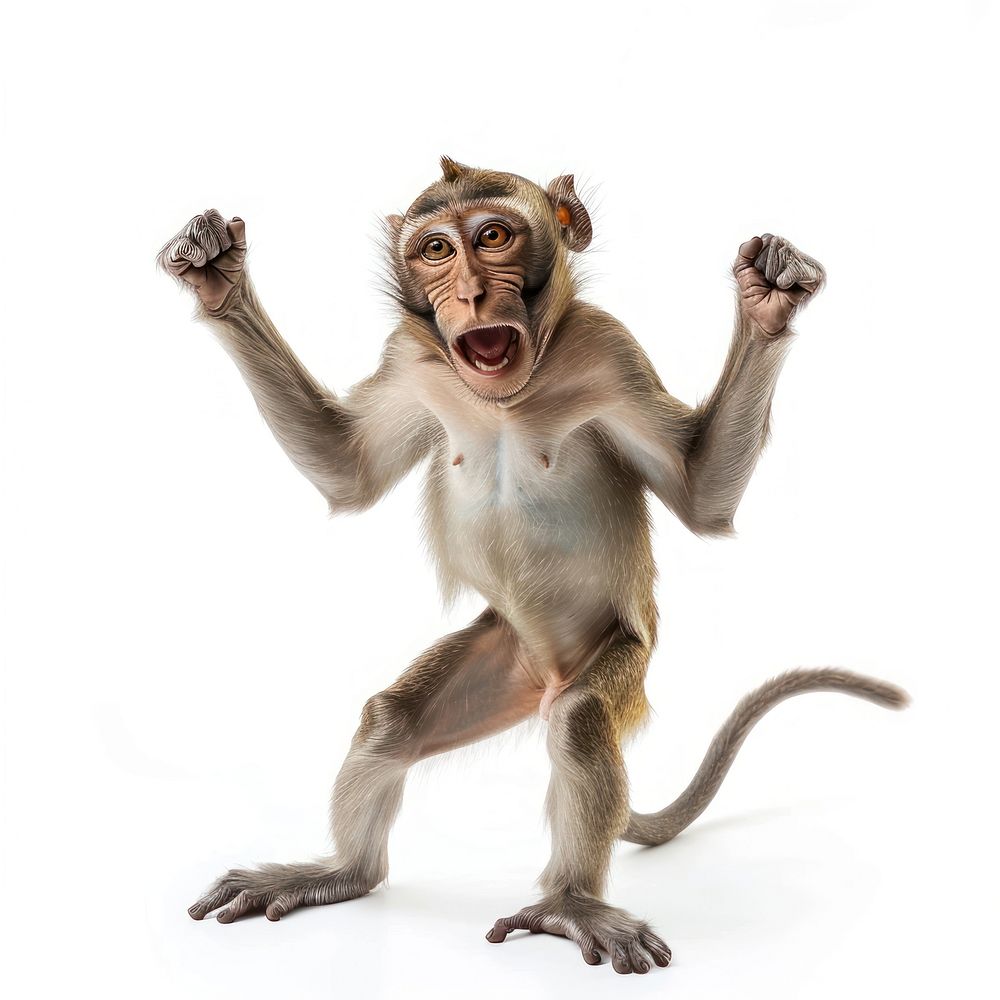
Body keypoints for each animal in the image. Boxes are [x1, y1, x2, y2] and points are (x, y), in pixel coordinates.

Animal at [157, 157, 908, 975]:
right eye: (435, 250)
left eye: (493, 237)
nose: (470, 295)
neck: (512, 393)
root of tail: (545, 676)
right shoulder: (408, 360)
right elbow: (346, 473)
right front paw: (219, 278)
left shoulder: (612, 351)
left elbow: (702, 499)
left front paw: (769, 300)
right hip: (505, 651)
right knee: (391, 720)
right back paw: (343, 872)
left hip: (622, 666)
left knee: (580, 723)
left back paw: (570, 901)